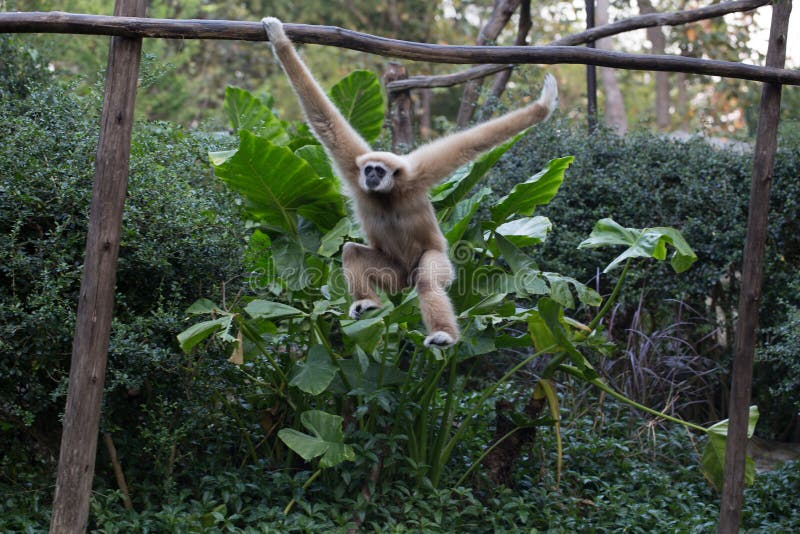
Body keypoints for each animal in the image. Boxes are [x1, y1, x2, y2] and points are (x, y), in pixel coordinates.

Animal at [262, 17, 558, 348]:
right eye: (369, 170)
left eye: (379, 171)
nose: (371, 177)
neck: (388, 195)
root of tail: (404, 281)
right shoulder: (353, 167)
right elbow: (325, 122)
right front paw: (278, 39)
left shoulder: (416, 174)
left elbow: (471, 143)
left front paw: (542, 107)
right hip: (394, 276)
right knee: (351, 251)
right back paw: (369, 303)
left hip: (440, 265)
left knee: (427, 281)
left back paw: (443, 334)